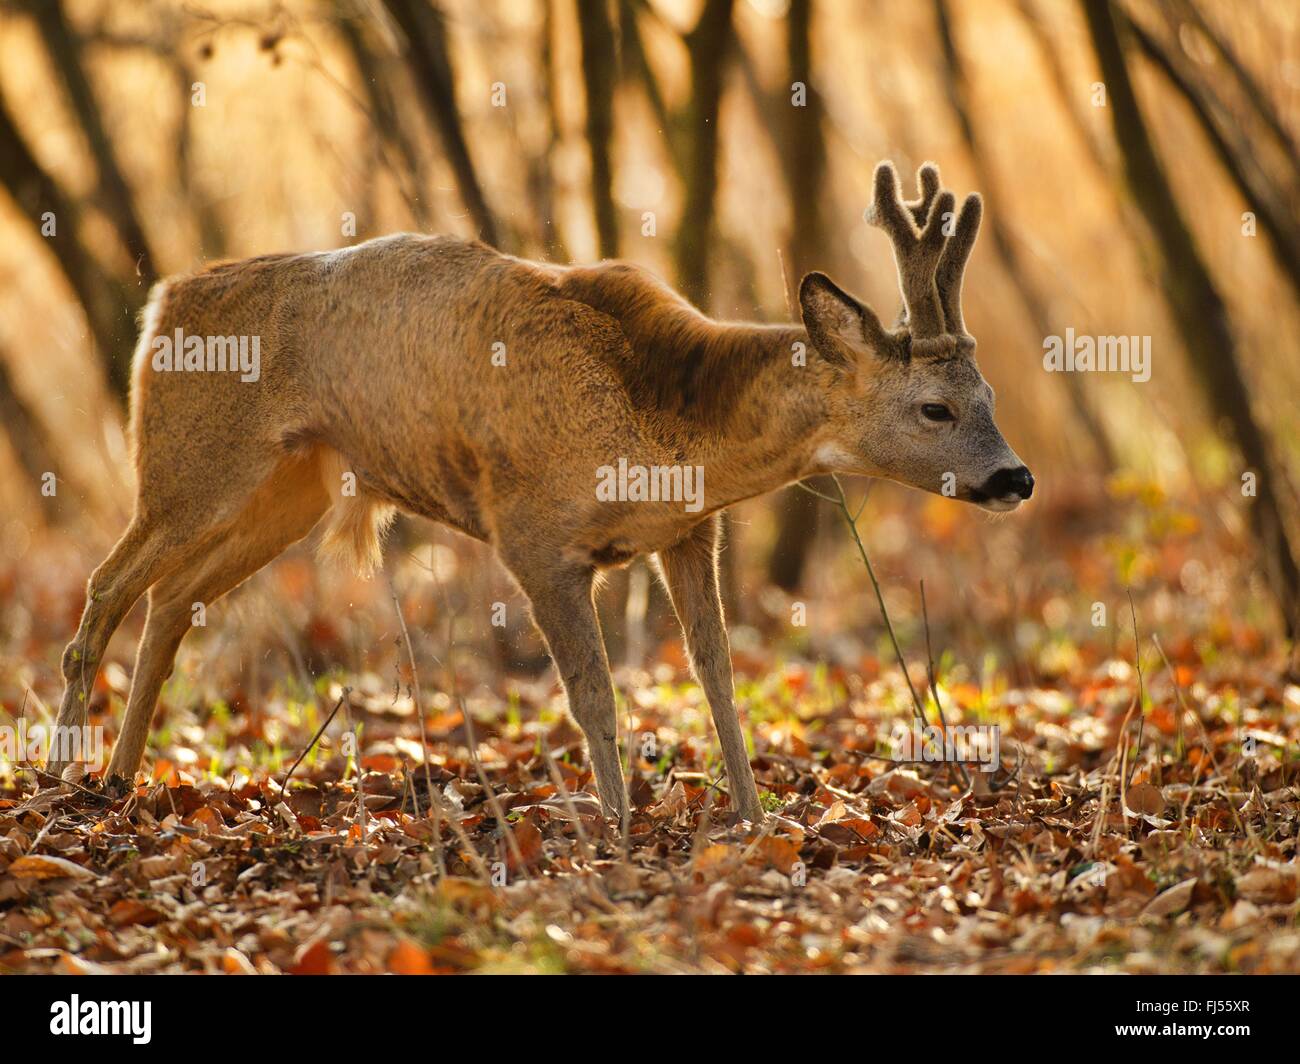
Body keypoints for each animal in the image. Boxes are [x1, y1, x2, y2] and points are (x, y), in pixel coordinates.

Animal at [47, 161, 1031, 825]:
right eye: (936, 407)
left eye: (990, 395)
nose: (1015, 476)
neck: (664, 414)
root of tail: (159, 306)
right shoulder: (533, 535)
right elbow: (592, 695)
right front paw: (620, 828)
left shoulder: (688, 532)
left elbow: (716, 676)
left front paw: (753, 818)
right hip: (189, 466)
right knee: (105, 586)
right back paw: (59, 776)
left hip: (289, 490)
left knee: (168, 601)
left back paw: (119, 778)